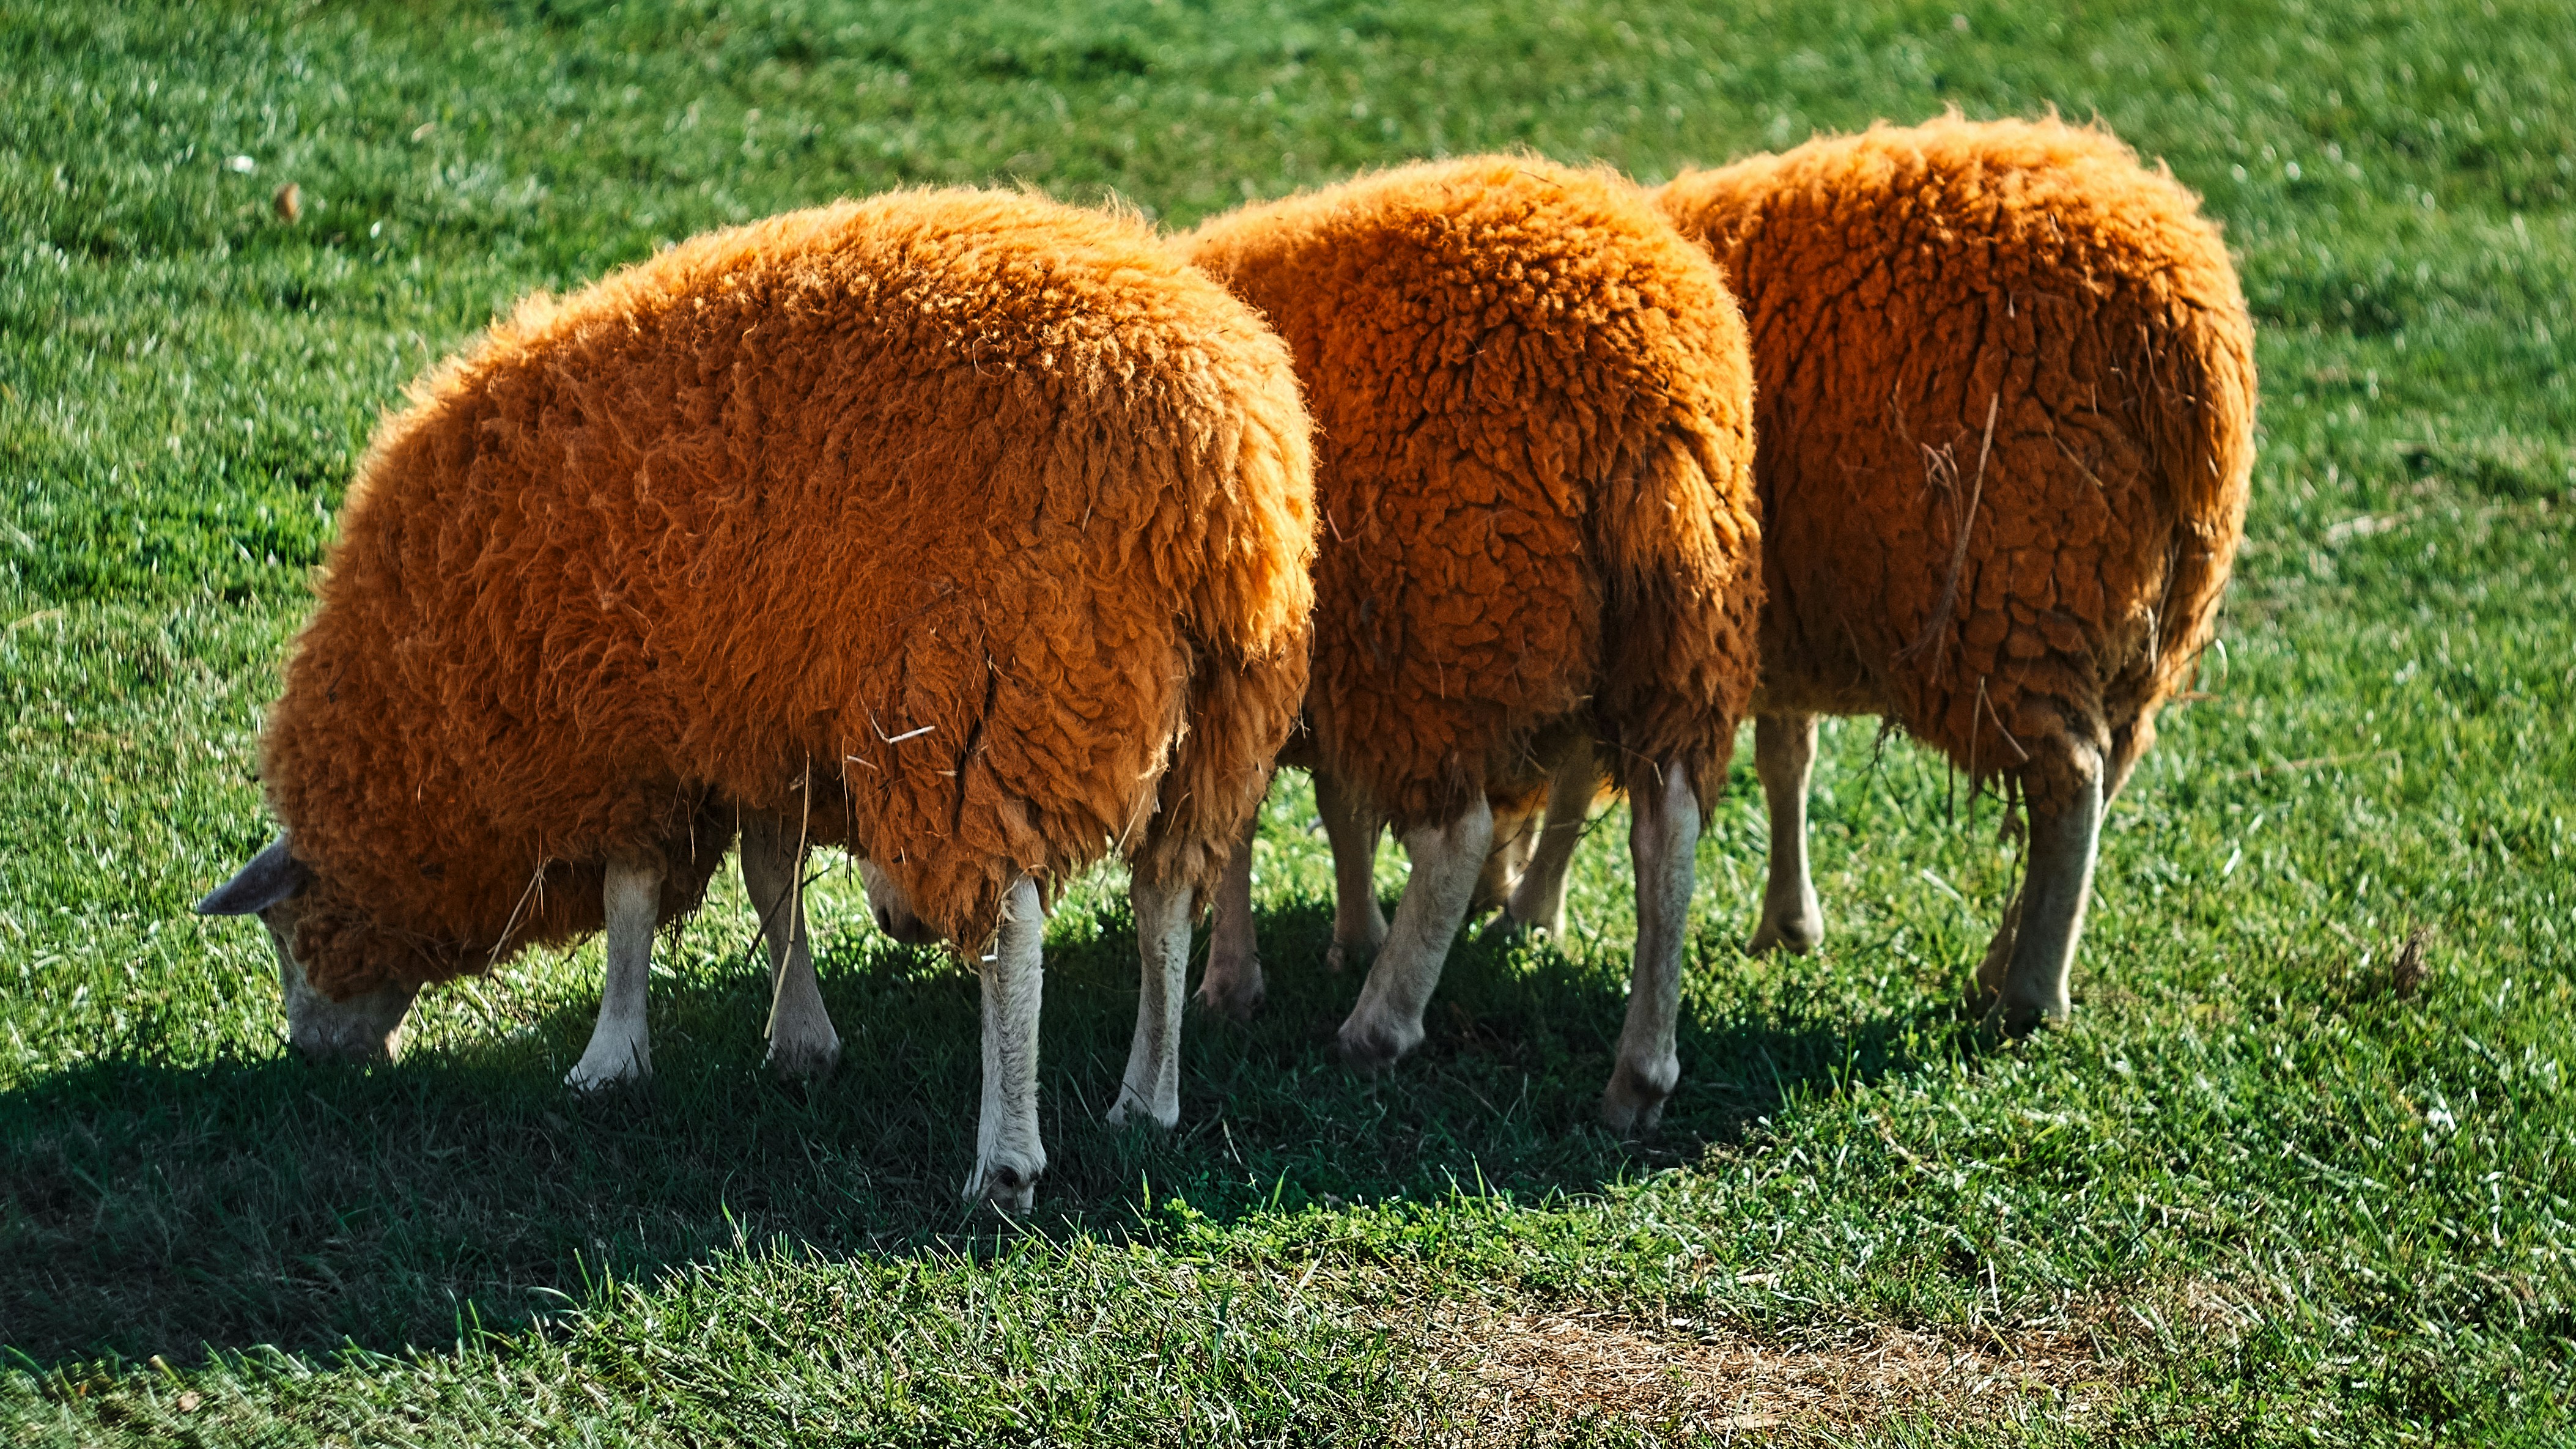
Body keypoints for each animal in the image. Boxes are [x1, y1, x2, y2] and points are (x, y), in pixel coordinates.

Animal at [195, 189, 1317, 1209]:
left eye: (288, 933)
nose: (312, 1058)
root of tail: (1215, 467)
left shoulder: (622, 736)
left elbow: (632, 898)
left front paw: (610, 1057)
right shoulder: (756, 710)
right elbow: (771, 874)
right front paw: (799, 1039)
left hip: (996, 696)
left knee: (1011, 931)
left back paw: (1003, 1161)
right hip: (1220, 708)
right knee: (1166, 896)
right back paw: (1145, 1100)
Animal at [1179, 156, 1765, 1132]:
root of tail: (1644, 391)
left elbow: (1243, 821)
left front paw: (1233, 982)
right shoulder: (1331, 671)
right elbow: (1338, 805)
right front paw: (1350, 932)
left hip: (1443, 626)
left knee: (1460, 834)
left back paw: (1378, 1026)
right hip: (1678, 635)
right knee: (1667, 835)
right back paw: (1639, 1078)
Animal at [1626, 115, 2257, 1030]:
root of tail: (2190, 329)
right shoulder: (1769, 624)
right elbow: (1786, 756)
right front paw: (1789, 920)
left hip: (2007, 590)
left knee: (2071, 781)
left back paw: (2030, 995)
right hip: (2146, 612)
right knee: (2108, 768)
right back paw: (2005, 962)